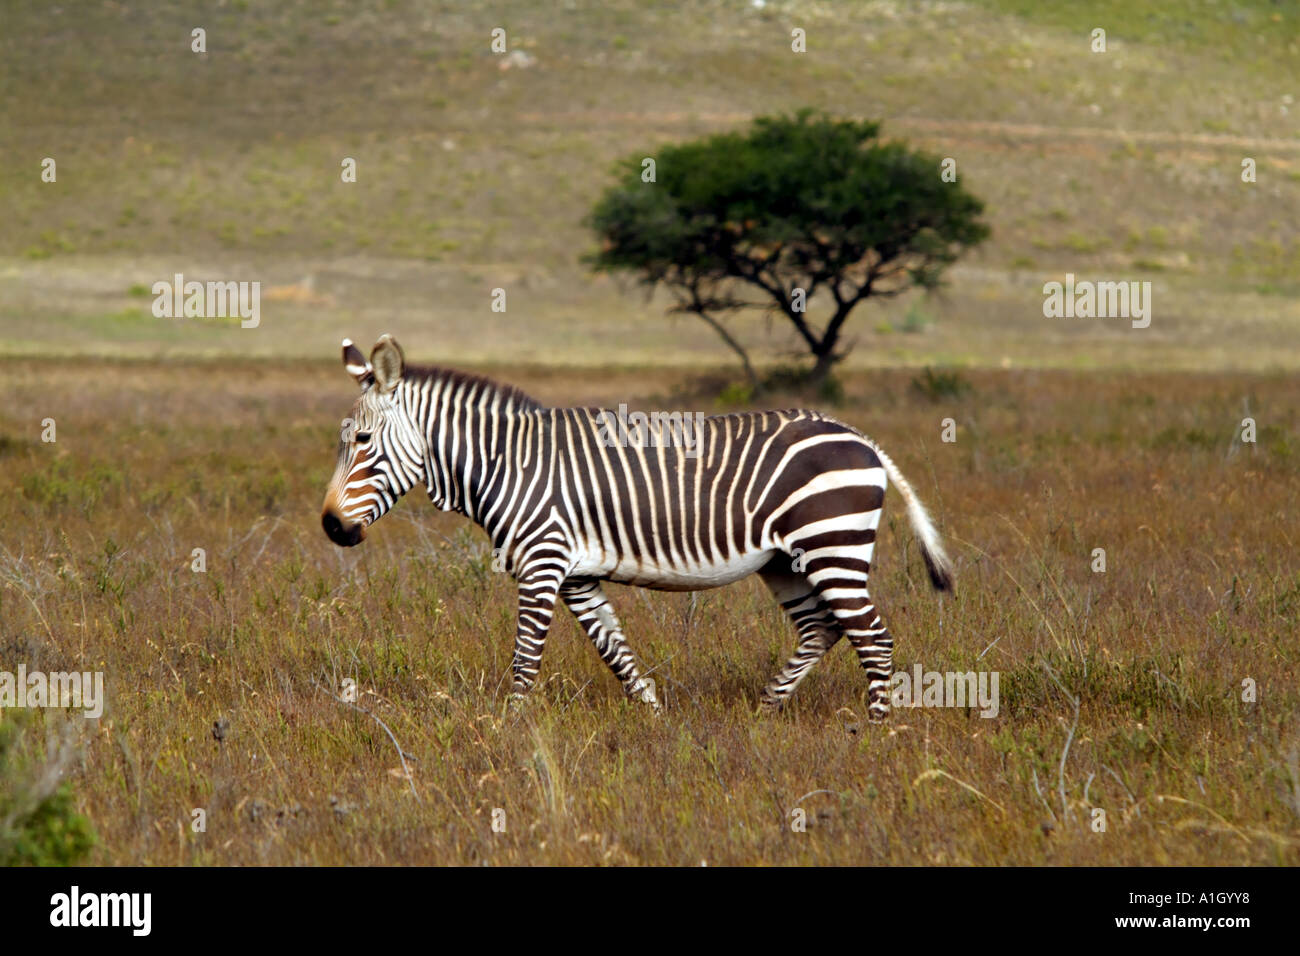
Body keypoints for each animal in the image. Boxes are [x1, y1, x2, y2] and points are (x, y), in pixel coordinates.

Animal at [322, 335, 954, 720]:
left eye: (363, 441)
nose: (331, 527)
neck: (509, 463)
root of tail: (859, 436)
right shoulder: (575, 573)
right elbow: (614, 650)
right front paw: (654, 716)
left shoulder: (542, 561)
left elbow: (527, 655)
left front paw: (510, 728)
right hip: (787, 561)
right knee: (820, 629)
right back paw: (766, 711)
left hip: (831, 545)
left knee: (872, 636)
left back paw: (874, 732)